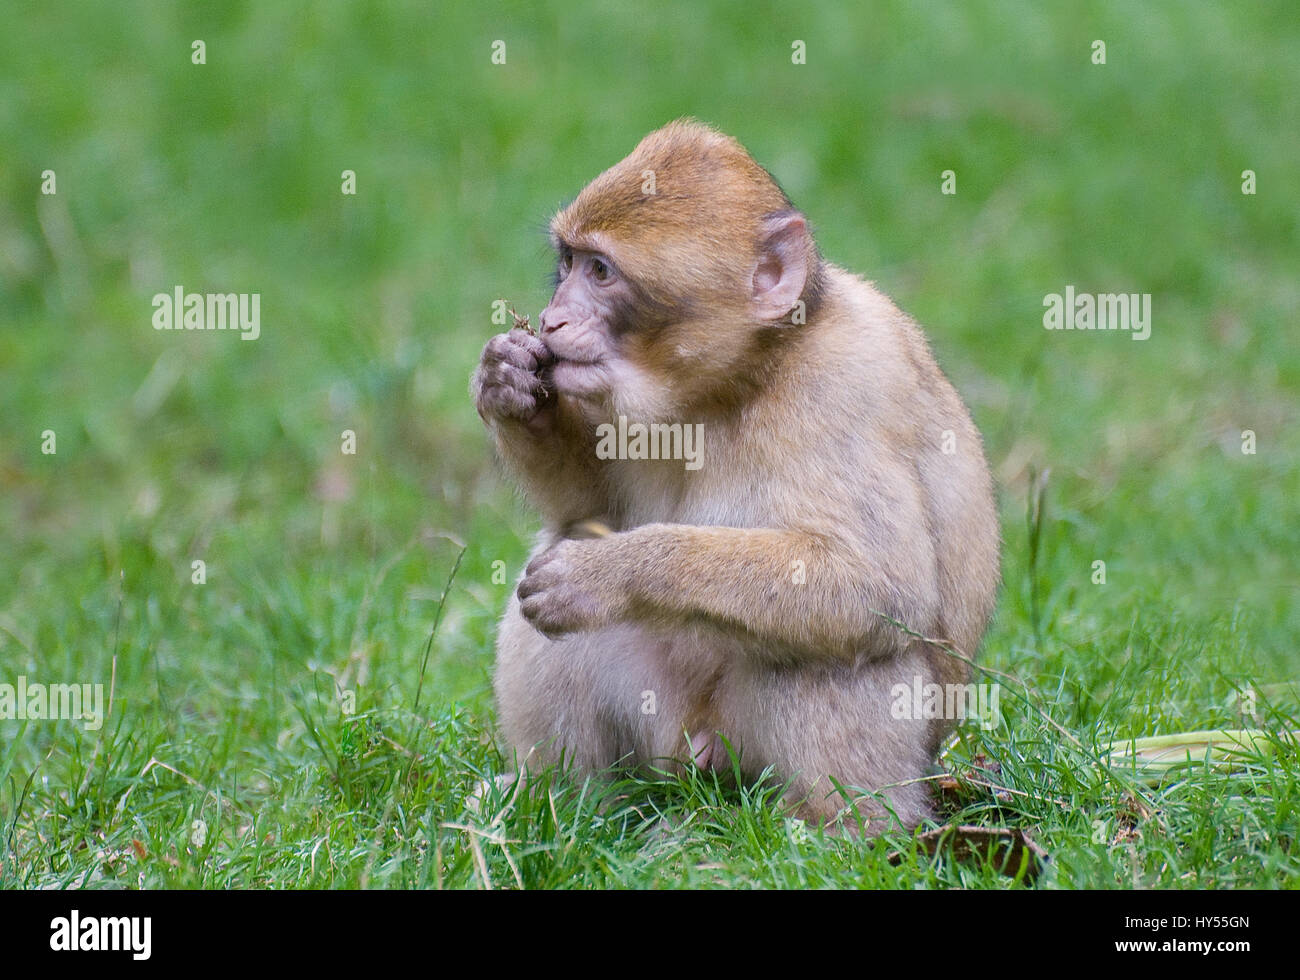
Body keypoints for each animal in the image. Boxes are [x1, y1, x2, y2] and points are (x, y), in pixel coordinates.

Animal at [470, 119, 1000, 835]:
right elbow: (588, 509)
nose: (552, 320)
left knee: (838, 651)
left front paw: (615, 572)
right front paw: (510, 384)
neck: (735, 383)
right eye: (569, 263)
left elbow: (879, 581)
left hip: (767, 756)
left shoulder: (847, 382)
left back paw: (837, 830)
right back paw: (560, 804)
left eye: (601, 272)